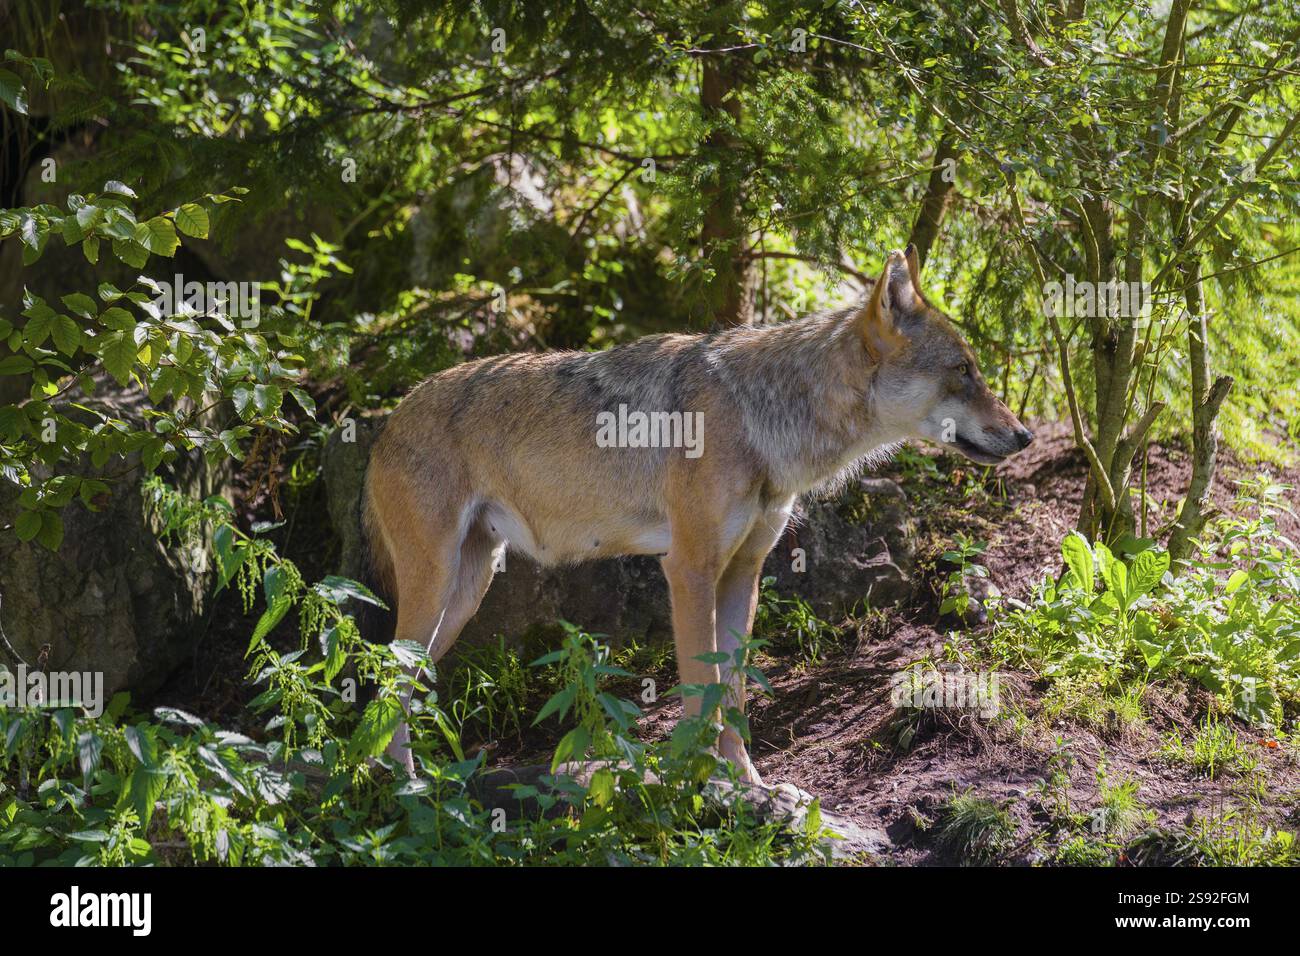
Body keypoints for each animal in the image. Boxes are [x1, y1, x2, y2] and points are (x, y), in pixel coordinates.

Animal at [359, 245, 1033, 784]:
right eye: (963, 371)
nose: (1026, 435)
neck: (765, 417)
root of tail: (388, 419)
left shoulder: (742, 575)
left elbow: (731, 693)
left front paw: (750, 783)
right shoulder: (687, 569)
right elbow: (699, 692)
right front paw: (702, 781)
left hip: (465, 593)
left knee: (395, 683)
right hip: (438, 586)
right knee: (386, 674)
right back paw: (401, 783)